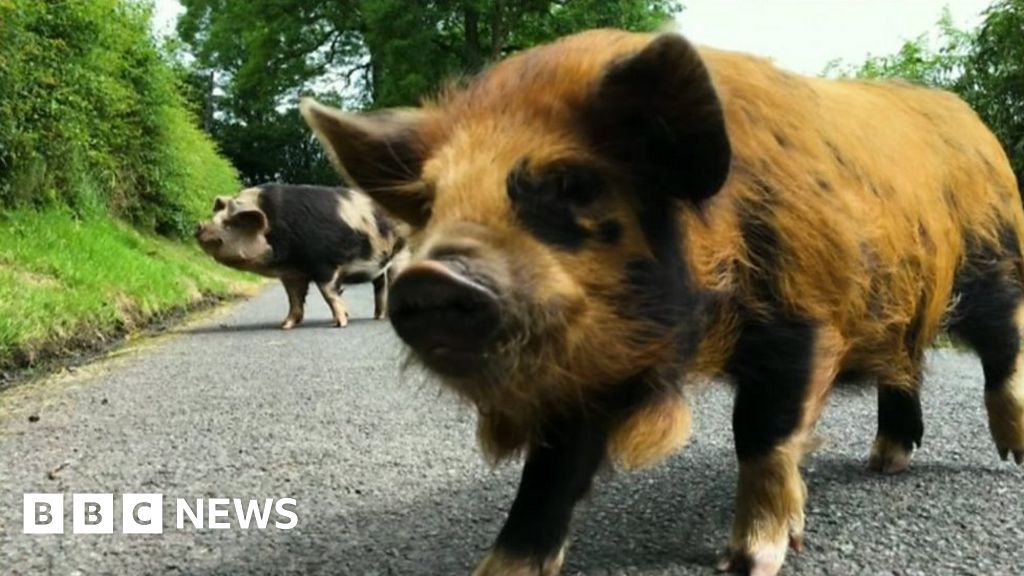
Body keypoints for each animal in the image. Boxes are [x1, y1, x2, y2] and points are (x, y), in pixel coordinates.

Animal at [195, 184, 405, 329]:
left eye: (229, 224)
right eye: (215, 217)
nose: (199, 225)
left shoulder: (324, 266)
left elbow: (329, 294)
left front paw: (340, 324)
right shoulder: (292, 274)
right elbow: (294, 299)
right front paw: (284, 325)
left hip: (402, 253)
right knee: (380, 286)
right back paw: (378, 317)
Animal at [300, 29, 1024, 576]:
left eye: (574, 184)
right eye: (429, 202)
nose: (427, 277)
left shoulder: (801, 319)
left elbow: (761, 430)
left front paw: (749, 562)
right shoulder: (580, 367)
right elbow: (548, 474)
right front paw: (496, 571)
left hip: (993, 263)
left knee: (1000, 351)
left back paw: (1008, 456)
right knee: (907, 366)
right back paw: (885, 462)